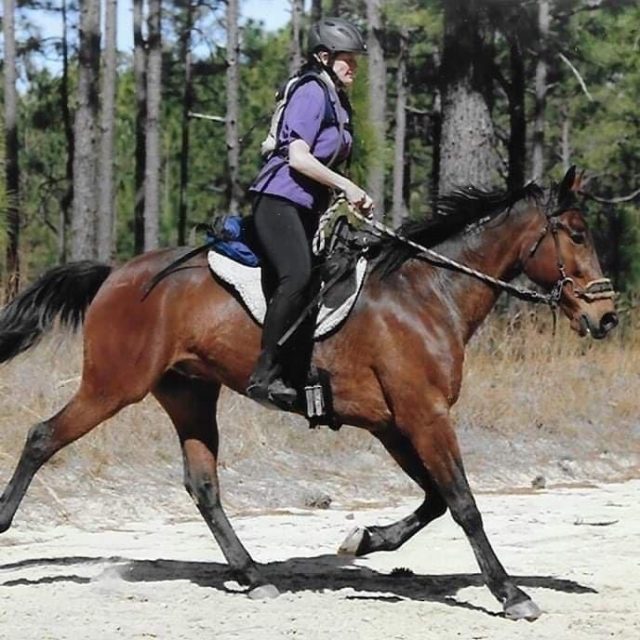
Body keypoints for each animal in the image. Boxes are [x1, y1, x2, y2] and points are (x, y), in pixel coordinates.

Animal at [0, 167, 617, 620]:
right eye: (577, 234)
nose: (606, 316)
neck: (428, 293)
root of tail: (114, 274)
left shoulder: (395, 423)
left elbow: (436, 499)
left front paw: (363, 540)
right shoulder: (424, 415)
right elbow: (463, 503)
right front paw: (511, 594)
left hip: (190, 394)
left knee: (203, 486)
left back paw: (252, 575)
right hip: (114, 385)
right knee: (42, 437)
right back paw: (5, 523)